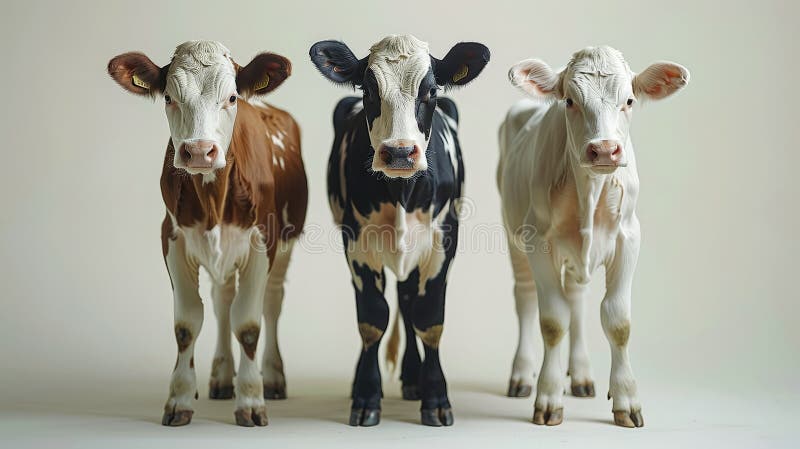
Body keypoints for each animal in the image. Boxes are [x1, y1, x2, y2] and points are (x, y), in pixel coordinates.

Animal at [107, 40, 308, 427]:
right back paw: (221, 376)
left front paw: (251, 401)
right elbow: (188, 323)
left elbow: (248, 323)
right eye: (168, 97)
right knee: (221, 301)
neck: (214, 199)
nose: (199, 151)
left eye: (231, 98)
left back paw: (274, 377)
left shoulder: (262, 242)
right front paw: (180, 398)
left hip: (286, 243)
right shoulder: (173, 239)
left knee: (272, 303)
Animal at [309, 35, 489, 427]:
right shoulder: (357, 244)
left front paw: (436, 398)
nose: (400, 153)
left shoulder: (443, 242)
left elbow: (429, 319)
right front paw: (366, 396)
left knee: (408, 303)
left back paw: (412, 379)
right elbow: (372, 318)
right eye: (368, 91)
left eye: (431, 90)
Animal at [497, 46, 689, 427]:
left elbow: (617, 320)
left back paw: (582, 374)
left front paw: (626, 398)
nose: (603, 149)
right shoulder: (538, 242)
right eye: (570, 101)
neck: (589, 192)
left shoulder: (628, 238)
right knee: (525, 298)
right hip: (513, 236)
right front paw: (548, 396)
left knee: (577, 300)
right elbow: (553, 320)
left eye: (629, 100)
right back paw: (522, 374)